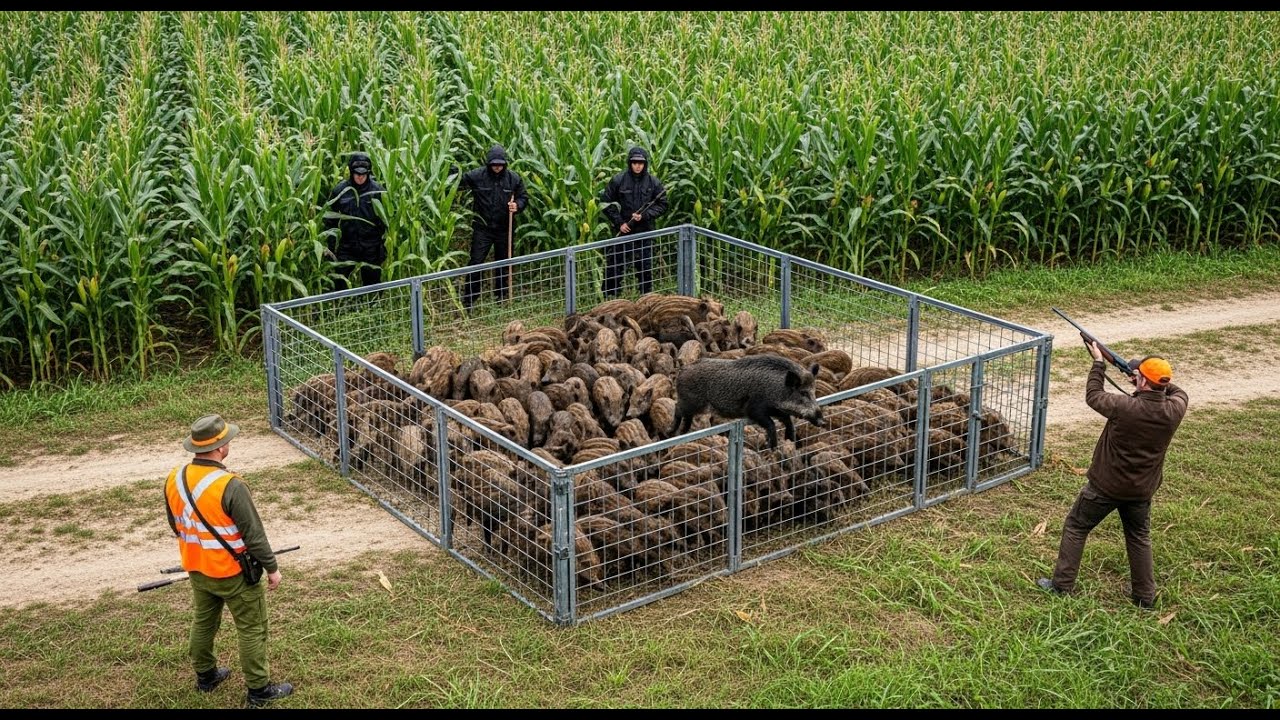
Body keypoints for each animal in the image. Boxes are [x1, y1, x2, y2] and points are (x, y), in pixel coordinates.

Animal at [672, 354, 824, 450]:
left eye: (814, 391)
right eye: (803, 393)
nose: (822, 421)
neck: (776, 390)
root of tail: (682, 370)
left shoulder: (776, 410)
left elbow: (787, 420)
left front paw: (790, 439)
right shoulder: (755, 409)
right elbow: (771, 424)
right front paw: (773, 447)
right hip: (691, 402)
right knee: (677, 409)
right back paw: (674, 431)